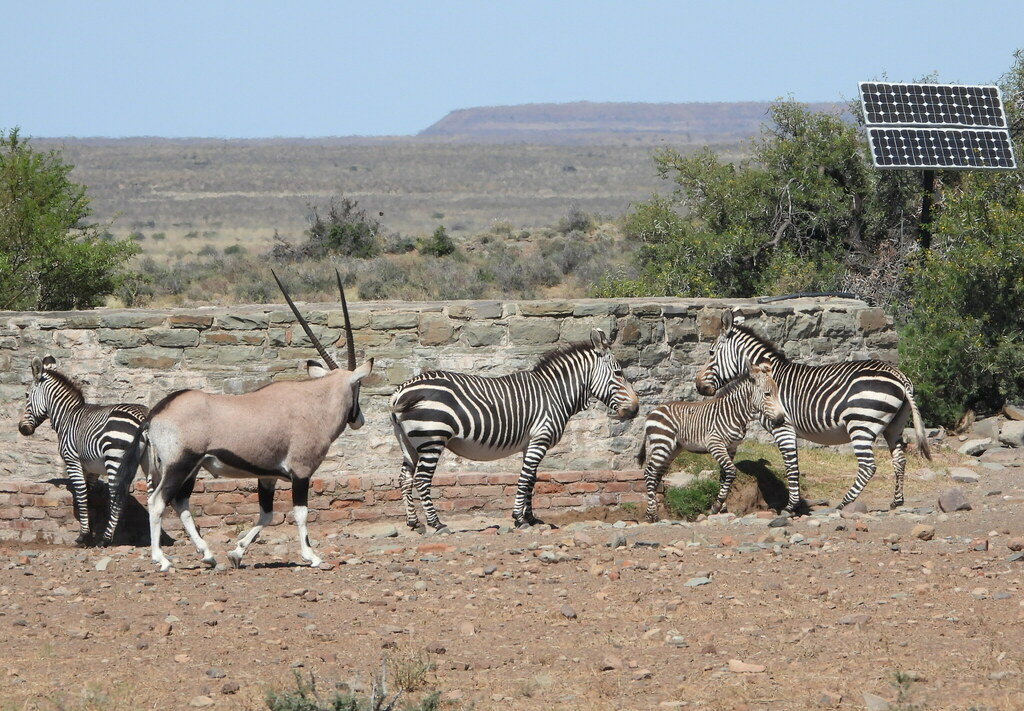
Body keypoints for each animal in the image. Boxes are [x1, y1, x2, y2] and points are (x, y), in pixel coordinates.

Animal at [18, 355, 149, 546]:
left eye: (27, 395)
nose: (22, 429)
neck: (66, 415)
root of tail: (141, 417)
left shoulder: (72, 460)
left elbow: (80, 494)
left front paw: (83, 535)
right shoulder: (92, 468)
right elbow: (90, 496)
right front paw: (90, 531)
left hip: (115, 460)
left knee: (118, 496)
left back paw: (106, 539)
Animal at [390, 328, 640, 532]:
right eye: (618, 373)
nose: (636, 409)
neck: (555, 393)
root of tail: (401, 390)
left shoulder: (530, 443)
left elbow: (532, 479)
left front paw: (531, 518)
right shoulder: (540, 438)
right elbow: (526, 477)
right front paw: (519, 519)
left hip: (409, 442)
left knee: (405, 478)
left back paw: (413, 522)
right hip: (432, 439)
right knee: (422, 479)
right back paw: (437, 524)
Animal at [638, 361, 785, 522]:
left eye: (777, 393)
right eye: (767, 394)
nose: (781, 420)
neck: (734, 413)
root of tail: (652, 412)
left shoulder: (731, 448)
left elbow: (724, 475)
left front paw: (722, 508)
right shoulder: (715, 444)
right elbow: (731, 471)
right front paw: (716, 506)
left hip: (672, 449)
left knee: (656, 475)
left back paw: (651, 512)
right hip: (662, 444)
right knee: (649, 473)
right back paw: (651, 514)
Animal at [695, 310, 931, 514]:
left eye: (711, 352)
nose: (698, 386)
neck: (767, 376)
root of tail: (899, 376)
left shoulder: (782, 427)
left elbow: (791, 466)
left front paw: (790, 507)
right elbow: (795, 465)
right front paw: (797, 504)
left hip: (861, 424)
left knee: (868, 466)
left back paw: (843, 504)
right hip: (894, 426)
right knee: (899, 459)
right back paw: (897, 501)